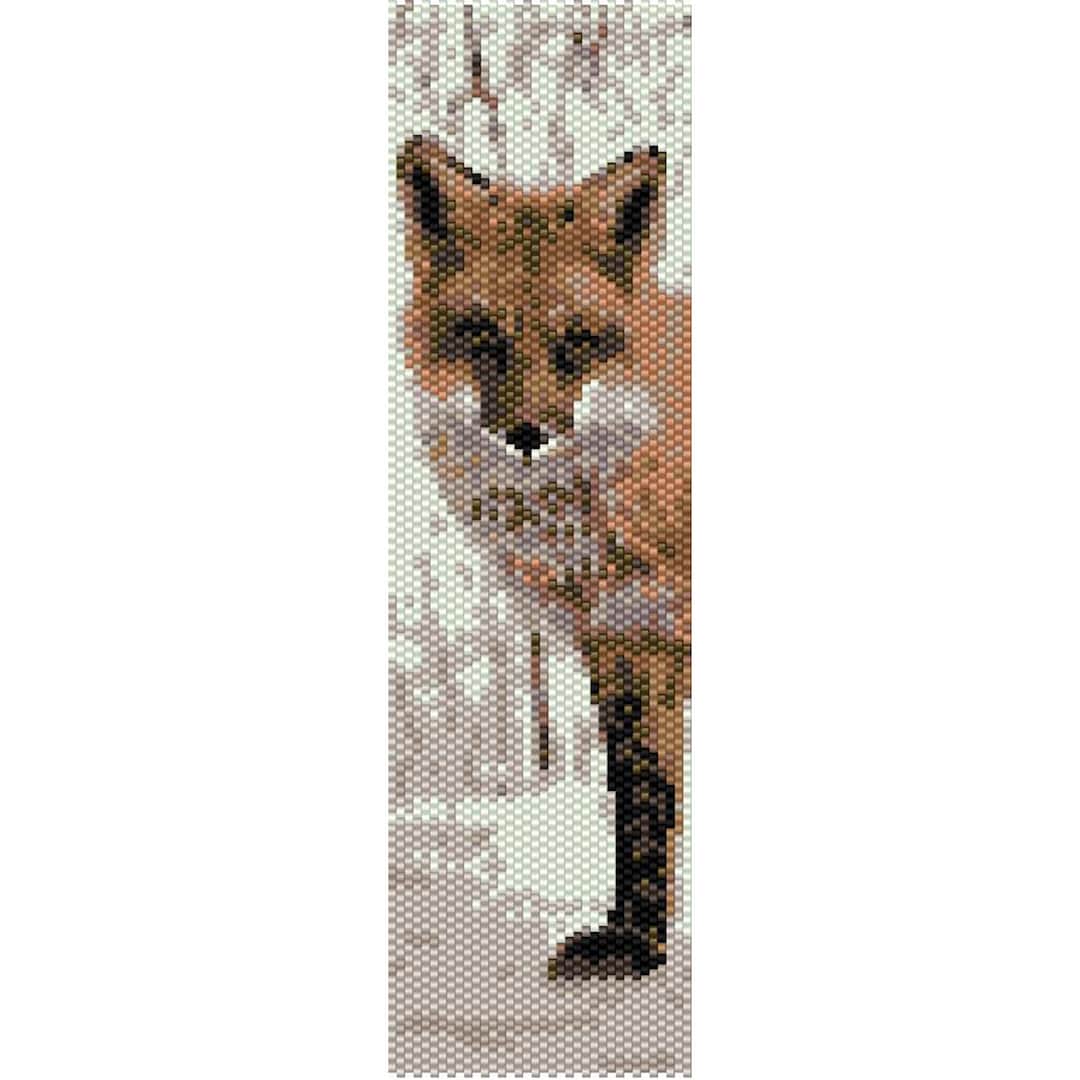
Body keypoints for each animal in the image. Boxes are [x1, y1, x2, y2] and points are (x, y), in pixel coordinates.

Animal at [396, 135, 690, 979]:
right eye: (482, 336)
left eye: (579, 340)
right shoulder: (622, 636)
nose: (527, 436)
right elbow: (639, 792)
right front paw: (635, 937)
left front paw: (643, 943)